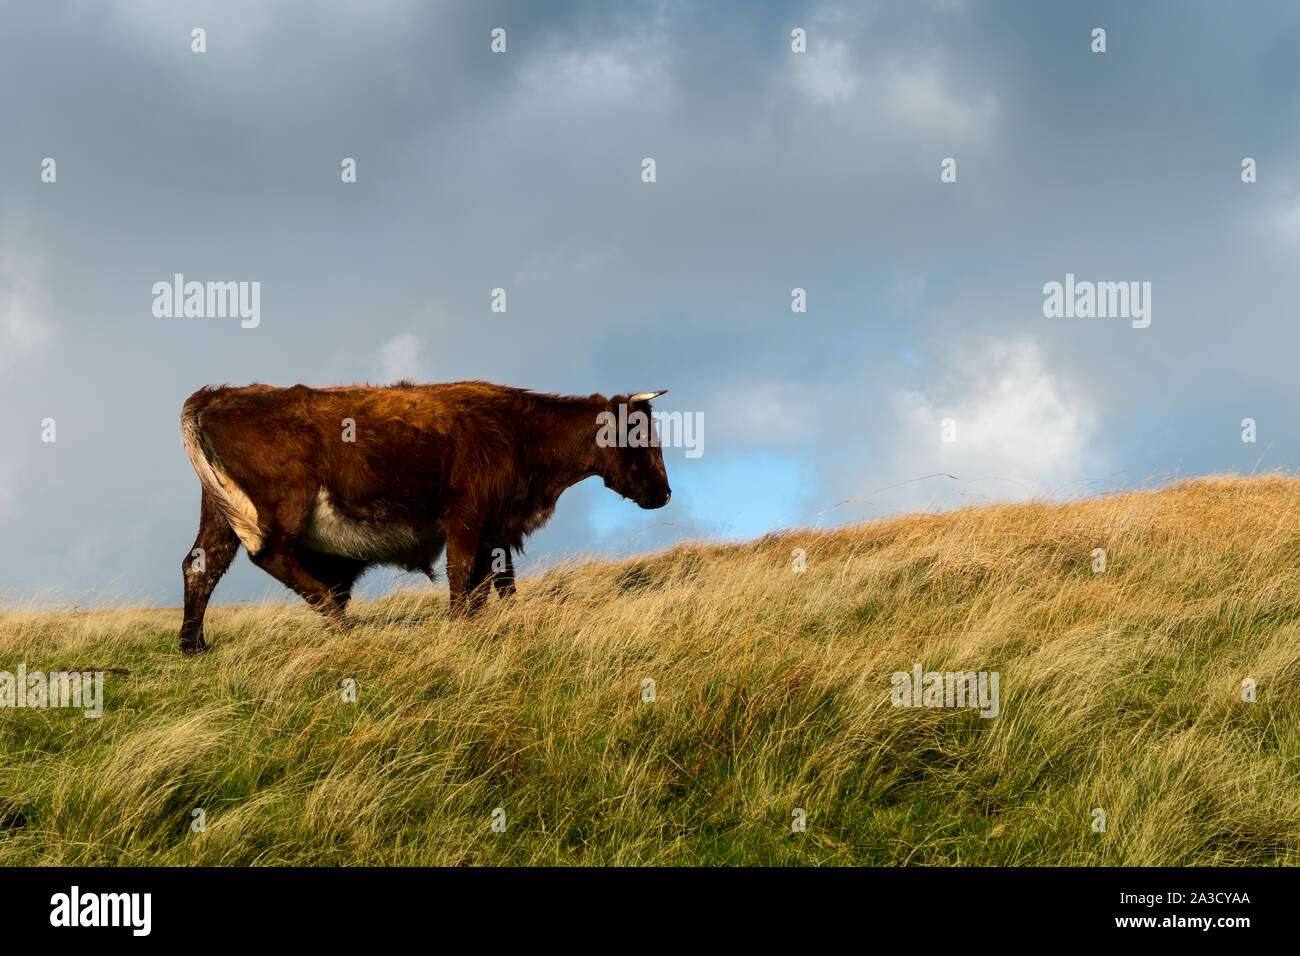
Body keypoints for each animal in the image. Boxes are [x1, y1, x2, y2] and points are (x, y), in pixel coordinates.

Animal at [177, 381, 671, 655]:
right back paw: (340, 621)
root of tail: (217, 395)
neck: (518, 432)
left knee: (201, 565)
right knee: (270, 555)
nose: (666, 494)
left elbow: (498, 583)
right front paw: (458, 627)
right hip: (280, 507)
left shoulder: (495, 529)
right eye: (637, 434)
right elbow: (462, 573)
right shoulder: (467, 514)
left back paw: (194, 647)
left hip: (219, 513)